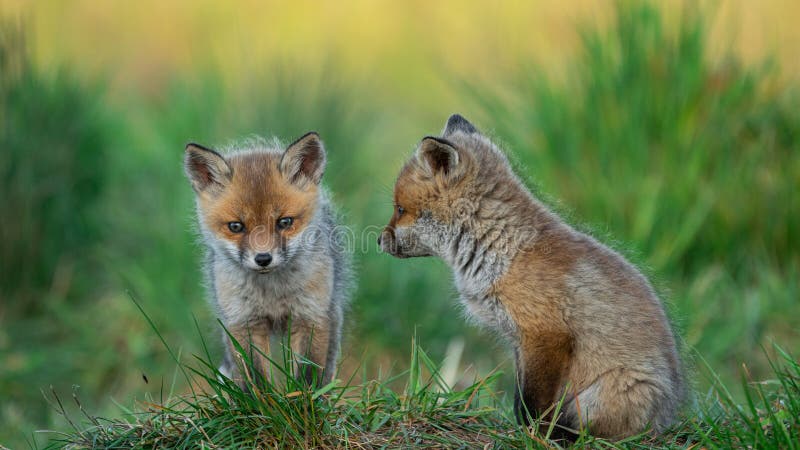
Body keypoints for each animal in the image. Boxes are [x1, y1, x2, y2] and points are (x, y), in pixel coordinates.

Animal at [184, 132, 351, 388]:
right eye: (236, 226)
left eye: (284, 222)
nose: (263, 258)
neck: (272, 295)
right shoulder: (244, 322)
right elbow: (256, 377)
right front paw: (261, 400)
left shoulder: (310, 317)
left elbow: (307, 375)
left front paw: (304, 398)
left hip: (331, 318)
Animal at [378, 114, 685, 439]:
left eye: (400, 209)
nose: (377, 240)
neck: (501, 248)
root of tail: (667, 419)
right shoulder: (519, 341)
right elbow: (519, 397)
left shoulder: (546, 334)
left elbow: (534, 402)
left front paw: (536, 434)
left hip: (601, 396)